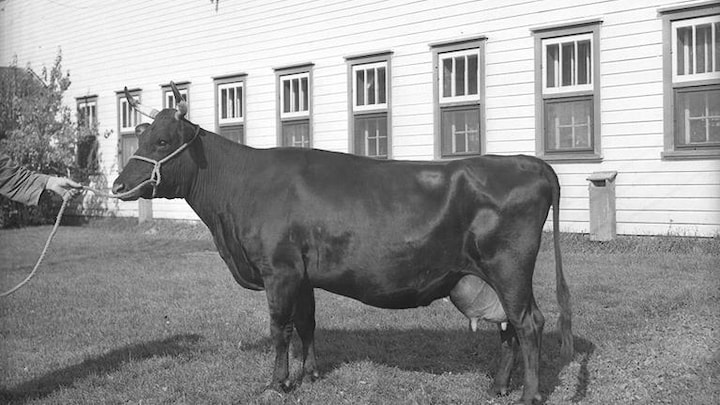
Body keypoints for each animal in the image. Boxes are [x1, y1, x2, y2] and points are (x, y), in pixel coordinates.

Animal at [112, 83, 572, 404]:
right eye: (141, 137)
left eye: (162, 141)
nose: (117, 185)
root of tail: (528, 162)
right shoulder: (303, 274)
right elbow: (307, 323)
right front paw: (310, 374)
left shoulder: (279, 270)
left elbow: (280, 329)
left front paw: (277, 383)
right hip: (493, 275)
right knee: (508, 327)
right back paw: (498, 388)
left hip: (509, 267)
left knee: (529, 323)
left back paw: (529, 394)